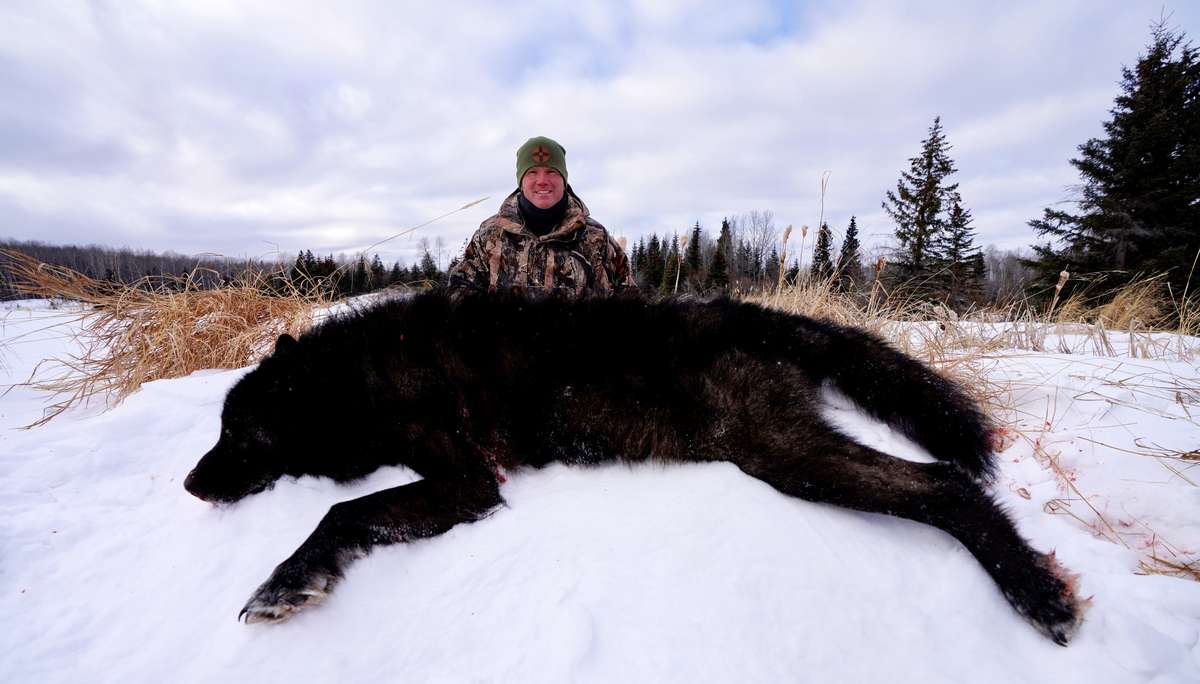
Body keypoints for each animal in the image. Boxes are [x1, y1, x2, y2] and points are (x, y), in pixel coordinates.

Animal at [184, 291, 1083, 645]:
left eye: (236, 432)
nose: (191, 484)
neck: (362, 380)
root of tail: (761, 315)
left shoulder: (469, 483)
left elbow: (340, 512)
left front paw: (284, 583)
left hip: (782, 454)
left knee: (946, 487)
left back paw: (1036, 594)